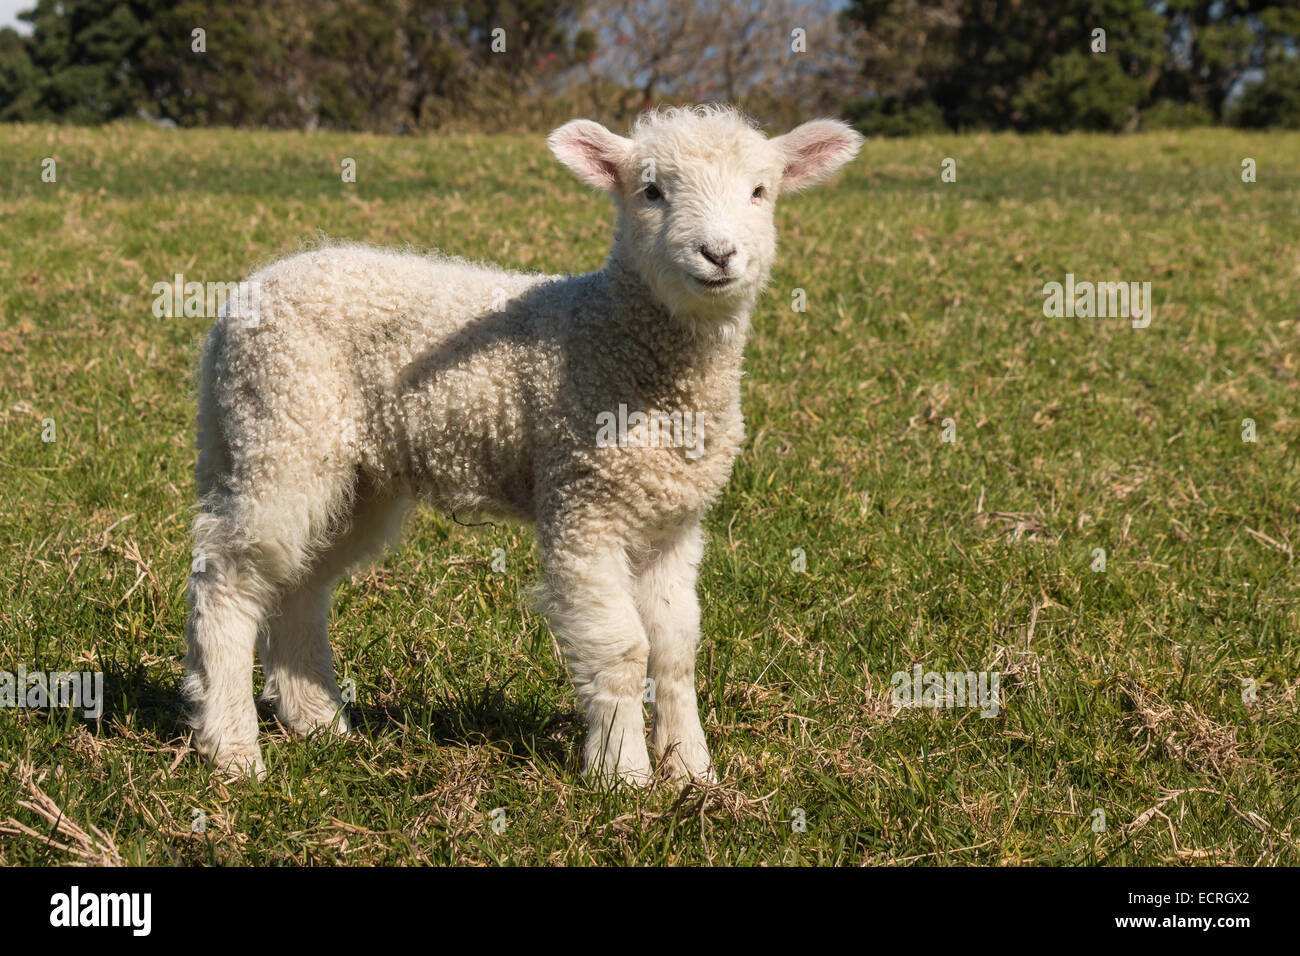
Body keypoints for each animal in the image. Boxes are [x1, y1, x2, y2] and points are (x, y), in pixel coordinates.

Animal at [184, 105, 863, 786]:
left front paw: (692, 773)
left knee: (298, 583)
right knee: (228, 577)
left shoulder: (673, 520)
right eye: (651, 192)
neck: (616, 338)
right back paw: (233, 748)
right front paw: (624, 776)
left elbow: (675, 650)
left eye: (760, 191)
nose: (718, 254)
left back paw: (318, 723)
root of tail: (242, 298)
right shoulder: (583, 504)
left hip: (345, 473)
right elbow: (621, 648)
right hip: (280, 430)